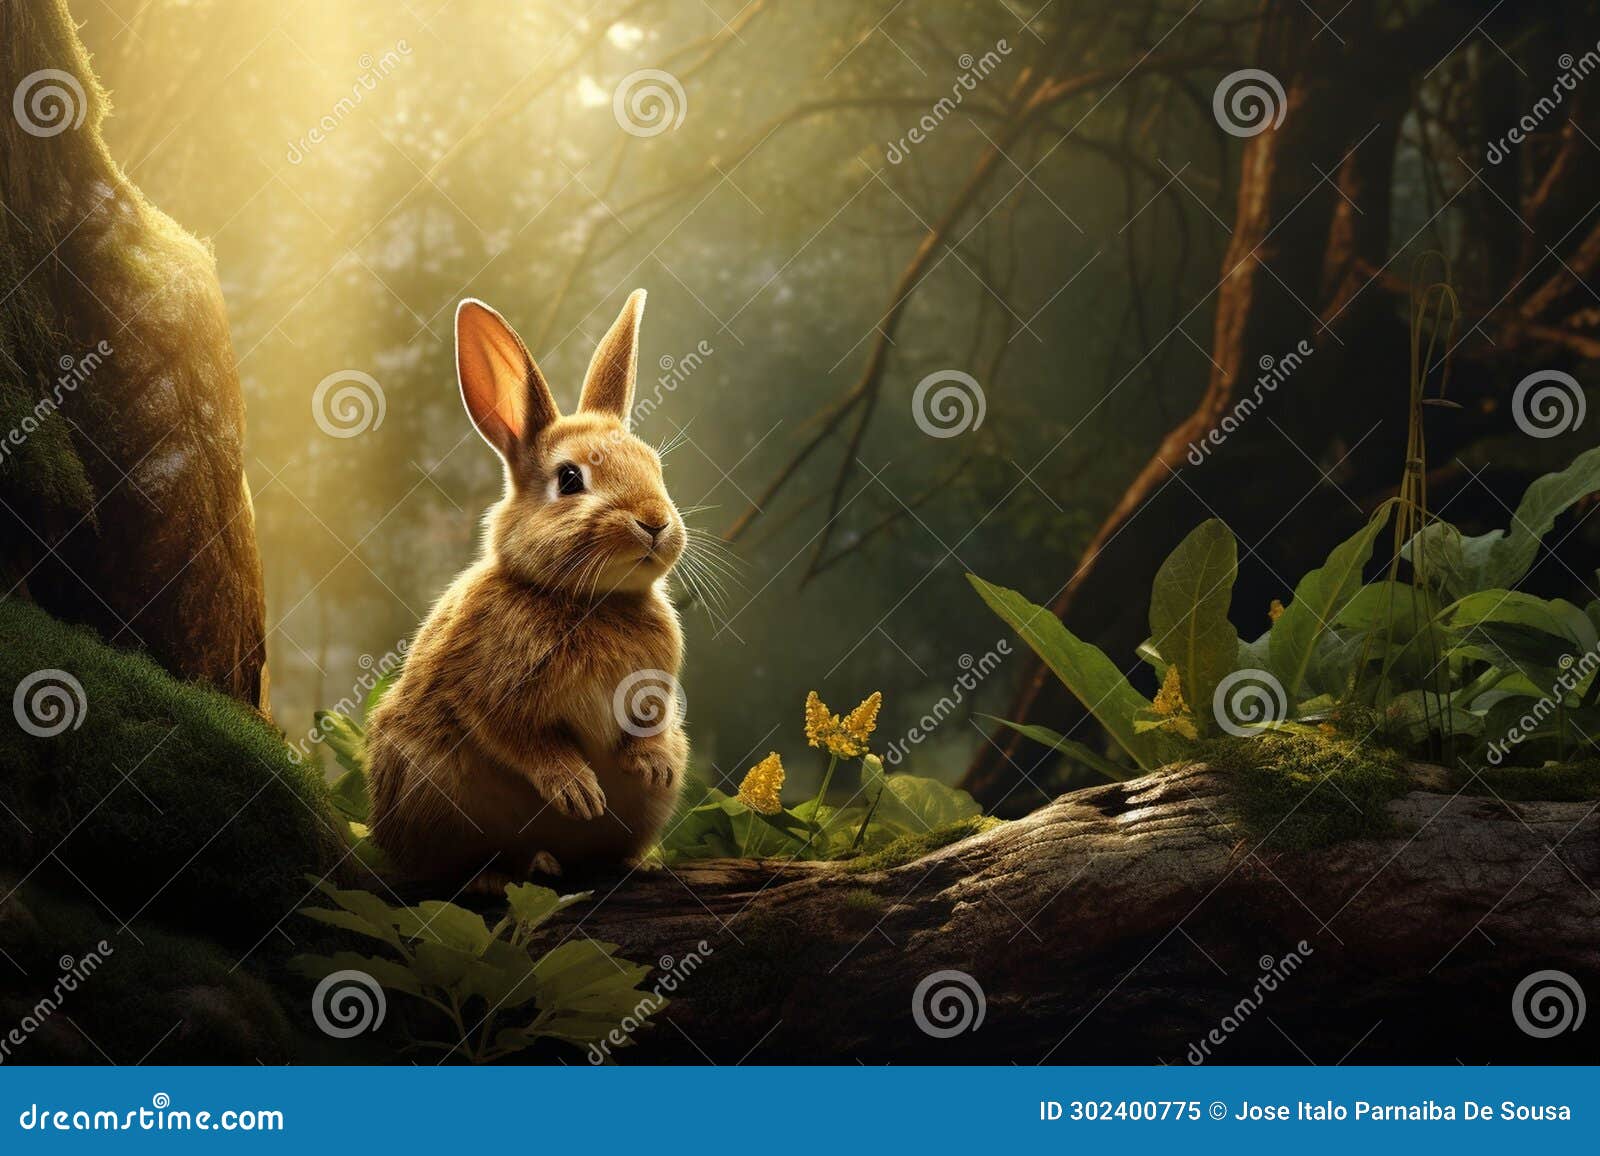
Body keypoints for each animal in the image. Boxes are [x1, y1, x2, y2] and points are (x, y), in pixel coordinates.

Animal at [366, 290, 689, 890]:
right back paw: (502, 873)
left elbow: (649, 728)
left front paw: (654, 764)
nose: (655, 522)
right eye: (570, 479)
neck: (588, 601)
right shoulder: (483, 692)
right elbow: (520, 739)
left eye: (655, 467)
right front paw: (578, 790)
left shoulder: (654, 694)